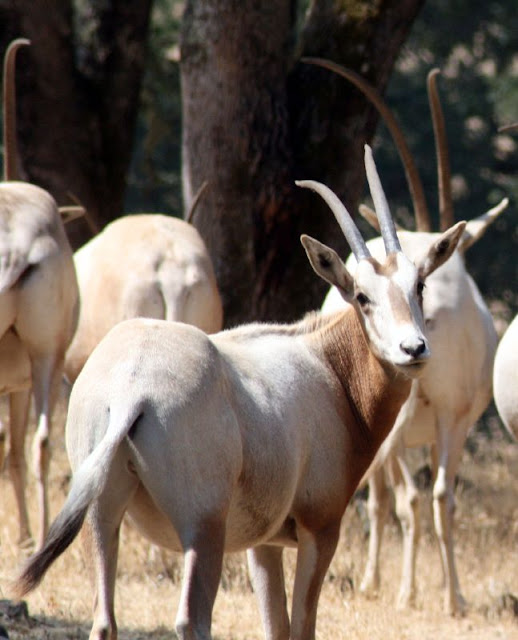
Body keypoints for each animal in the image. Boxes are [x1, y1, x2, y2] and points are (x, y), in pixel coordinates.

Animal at [308, 58, 508, 615]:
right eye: (363, 296)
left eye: (418, 283)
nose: (414, 345)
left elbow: (388, 500)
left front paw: (385, 582)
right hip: (442, 418)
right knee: (430, 497)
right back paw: (443, 596)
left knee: (409, 498)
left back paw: (414, 592)